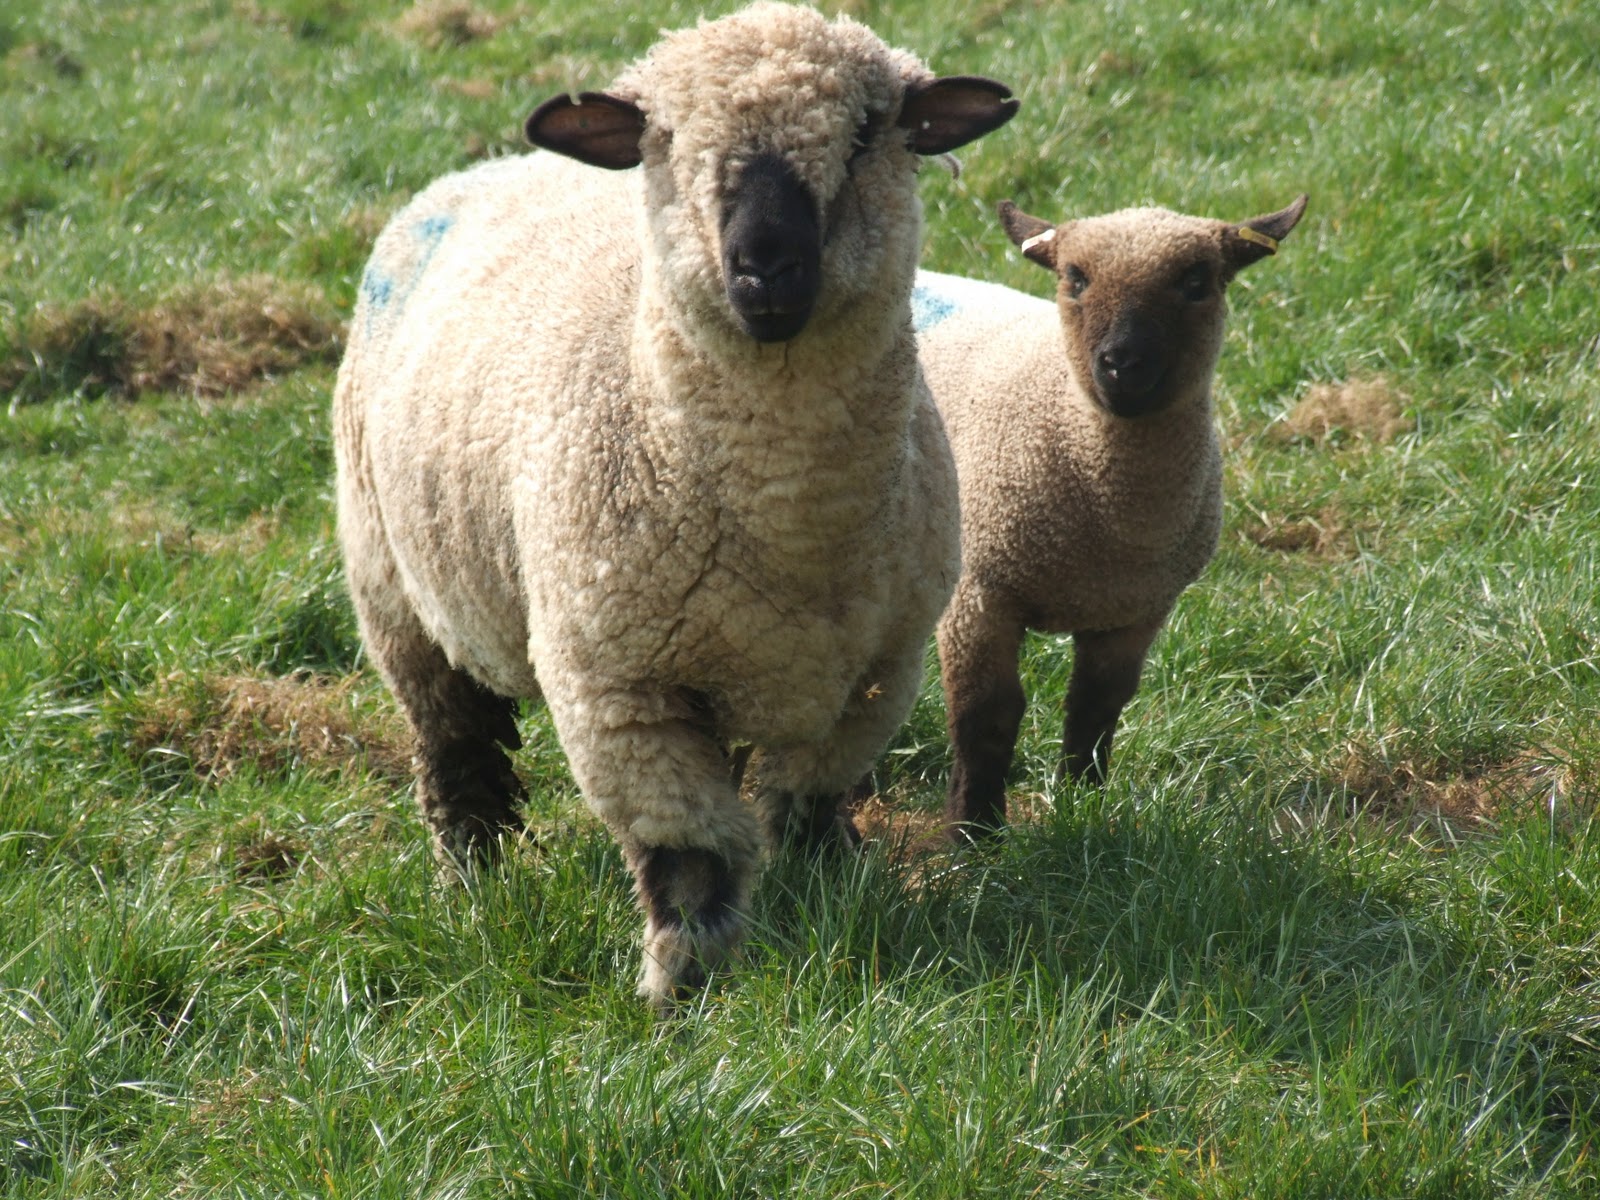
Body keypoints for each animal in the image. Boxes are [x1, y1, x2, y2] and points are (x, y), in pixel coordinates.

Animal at [332, 1, 1018, 1006]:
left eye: (866, 133)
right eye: (665, 141)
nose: (765, 267)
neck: (789, 514)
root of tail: (489, 165)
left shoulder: (875, 676)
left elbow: (807, 805)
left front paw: (835, 890)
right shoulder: (619, 691)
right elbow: (690, 851)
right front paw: (682, 987)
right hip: (392, 590)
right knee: (453, 747)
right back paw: (472, 879)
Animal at [914, 193, 1307, 841]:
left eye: (1196, 281)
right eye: (1075, 278)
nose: (1123, 365)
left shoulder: (1135, 611)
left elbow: (1096, 707)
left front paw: (1082, 804)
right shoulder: (979, 593)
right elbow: (985, 718)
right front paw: (974, 834)